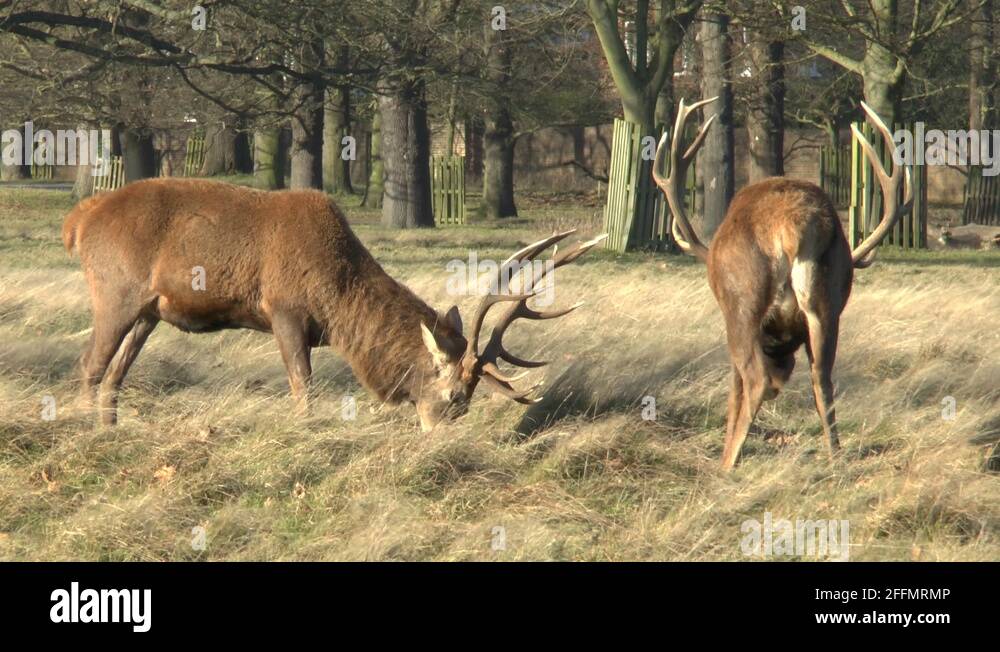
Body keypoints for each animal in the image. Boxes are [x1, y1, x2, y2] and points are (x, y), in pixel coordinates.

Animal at [61, 178, 605, 429]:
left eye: (470, 402)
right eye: (454, 396)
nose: (439, 439)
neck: (337, 302)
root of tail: (79, 220)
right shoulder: (283, 309)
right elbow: (303, 386)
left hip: (148, 312)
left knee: (114, 374)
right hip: (115, 291)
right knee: (89, 365)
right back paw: (85, 431)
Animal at [653, 99, 912, 470]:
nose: (781, 379)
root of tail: (792, 226)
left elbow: (734, 386)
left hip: (742, 301)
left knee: (753, 378)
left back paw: (728, 464)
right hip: (827, 302)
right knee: (823, 378)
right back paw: (835, 456)